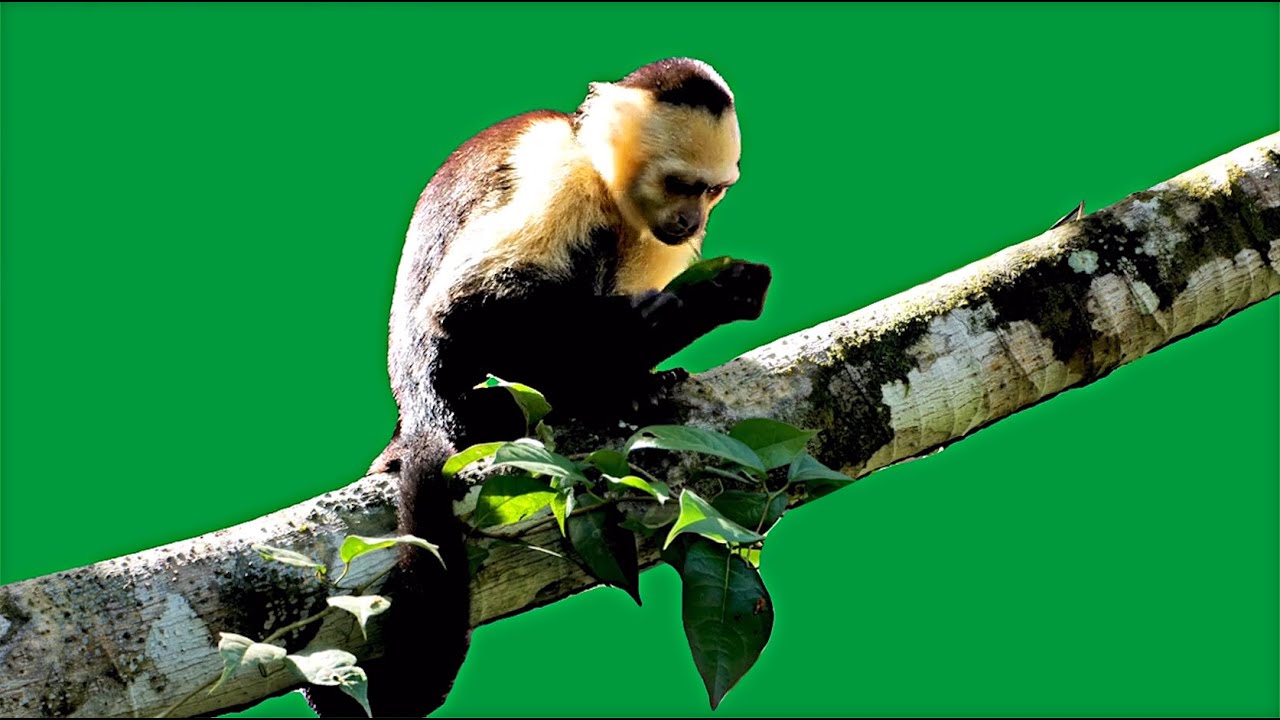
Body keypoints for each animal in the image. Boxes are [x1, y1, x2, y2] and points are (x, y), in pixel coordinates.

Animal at [304, 57, 771, 718]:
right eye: (681, 184)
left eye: (712, 190)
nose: (692, 222)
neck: (603, 178)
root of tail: (419, 411)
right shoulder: (561, 174)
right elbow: (466, 307)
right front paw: (675, 310)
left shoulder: (650, 234)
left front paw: (677, 334)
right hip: (447, 392)